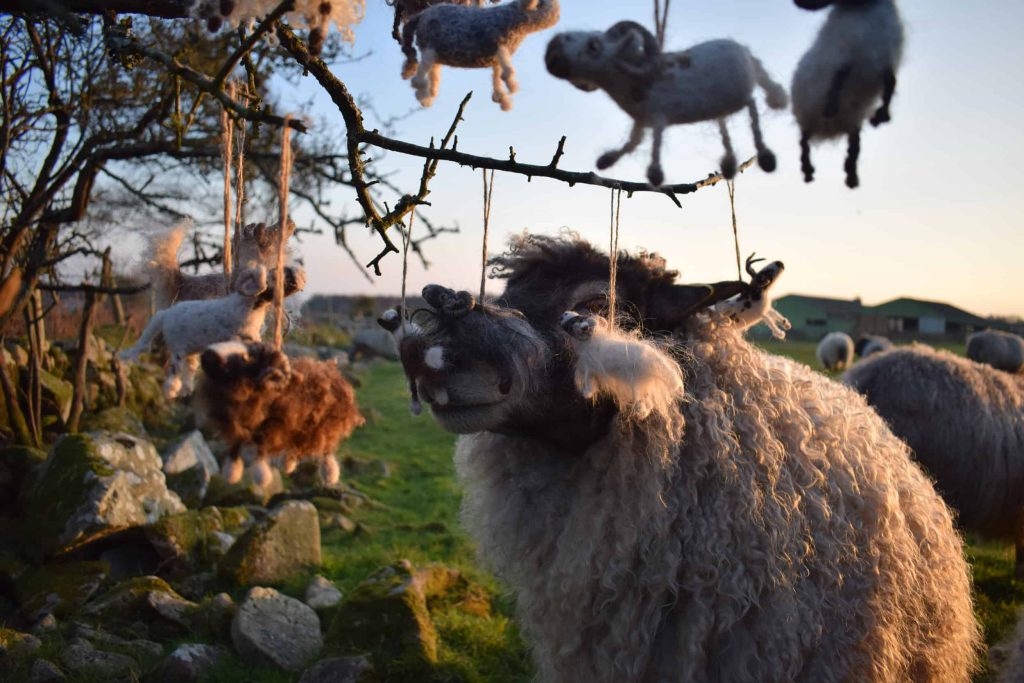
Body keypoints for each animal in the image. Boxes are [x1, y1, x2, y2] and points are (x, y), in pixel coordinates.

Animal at [121, 264, 306, 399]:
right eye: (275, 275)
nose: (298, 273)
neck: (250, 307)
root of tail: (166, 314)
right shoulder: (240, 338)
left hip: (190, 350)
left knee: (188, 371)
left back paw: (186, 390)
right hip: (178, 350)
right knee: (173, 375)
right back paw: (171, 392)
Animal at [194, 340, 364, 488]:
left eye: (245, 358)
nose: (207, 355)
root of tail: (330, 368)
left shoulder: (270, 425)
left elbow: (261, 447)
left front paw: (261, 475)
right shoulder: (237, 426)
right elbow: (236, 445)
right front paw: (232, 471)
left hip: (325, 427)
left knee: (327, 449)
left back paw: (329, 473)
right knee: (296, 446)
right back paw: (288, 464)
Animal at [400, 0, 561, 111]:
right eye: (541, 4)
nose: (557, 12)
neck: (514, 17)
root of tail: (420, 16)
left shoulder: (497, 57)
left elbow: (497, 76)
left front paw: (502, 99)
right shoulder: (500, 45)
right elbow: (507, 72)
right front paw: (512, 88)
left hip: (435, 53)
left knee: (433, 75)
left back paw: (427, 98)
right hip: (429, 47)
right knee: (419, 75)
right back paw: (421, 92)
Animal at [544, 21, 787, 186]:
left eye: (594, 46)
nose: (553, 49)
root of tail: (743, 49)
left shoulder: (657, 117)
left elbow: (655, 143)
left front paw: (655, 174)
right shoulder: (641, 120)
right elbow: (633, 142)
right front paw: (607, 160)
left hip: (741, 98)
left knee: (753, 107)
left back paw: (765, 155)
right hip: (722, 105)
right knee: (724, 126)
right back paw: (728, 163)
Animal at [791, 0, 904, 188]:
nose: (798, 4)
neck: (863, 8)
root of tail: (829, 129)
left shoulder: (882, 61)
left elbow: (890, 84)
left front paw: (881, 117)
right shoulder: (847, 54)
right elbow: (839, 76)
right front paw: (830, 108)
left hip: (853, 123)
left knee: (853, 147)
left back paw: (851, 177)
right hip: (806, 117)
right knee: (804, 143)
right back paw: (808, 171)